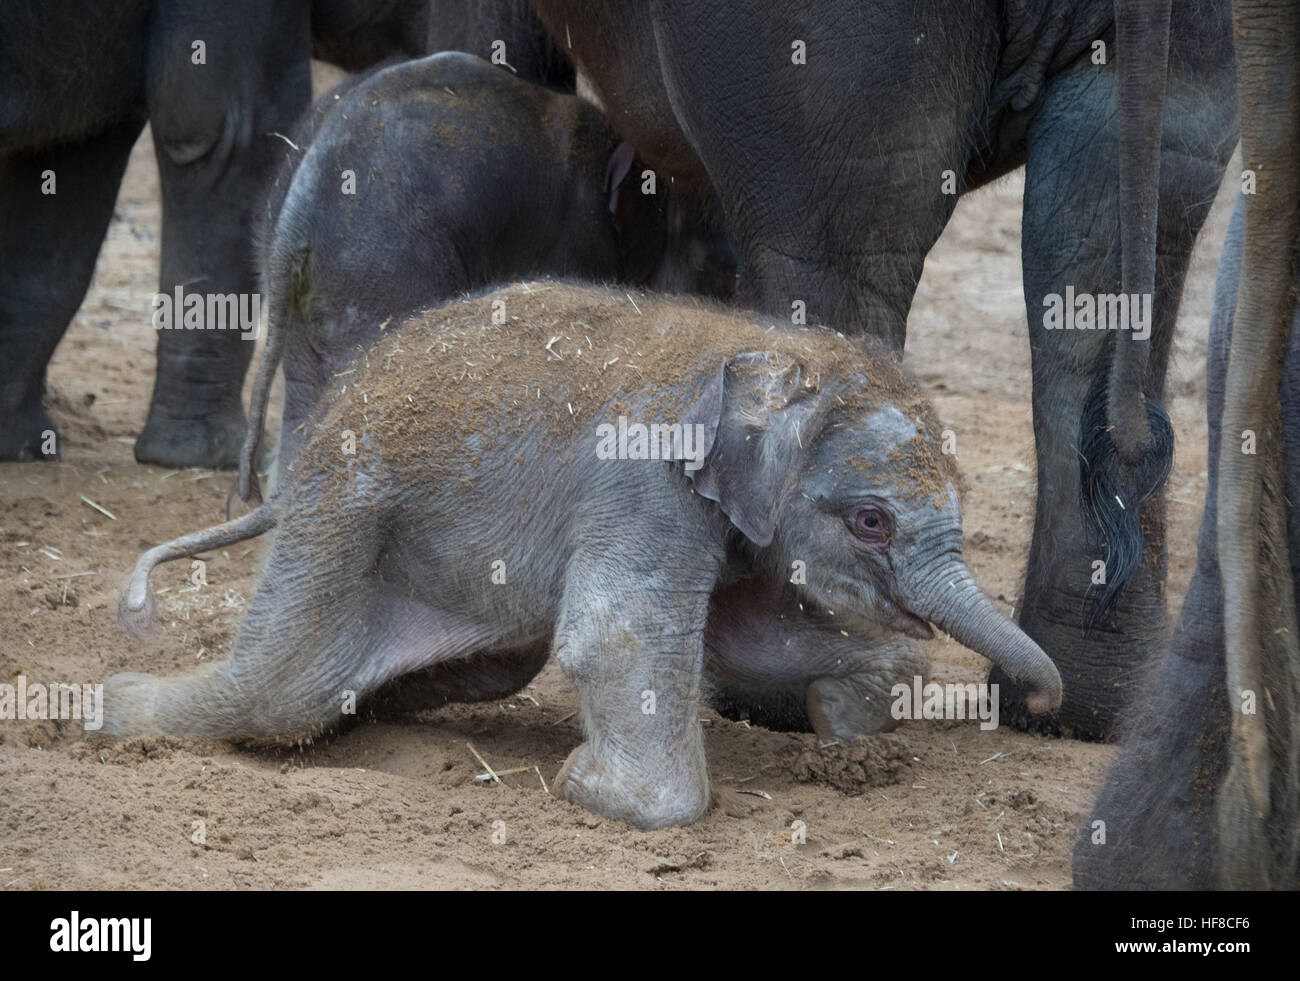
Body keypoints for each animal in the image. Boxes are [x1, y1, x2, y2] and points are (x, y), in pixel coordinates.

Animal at [98, 282, 1062, 829]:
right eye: (871, 522)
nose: (1048, 700)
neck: (779, 356)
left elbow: (747, 640)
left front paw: (848, 727)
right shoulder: (644, 481)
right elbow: (620, 634)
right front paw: (588, 792)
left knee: (474, 665)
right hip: (345, 509)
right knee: (281, 689)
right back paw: (108, 713)